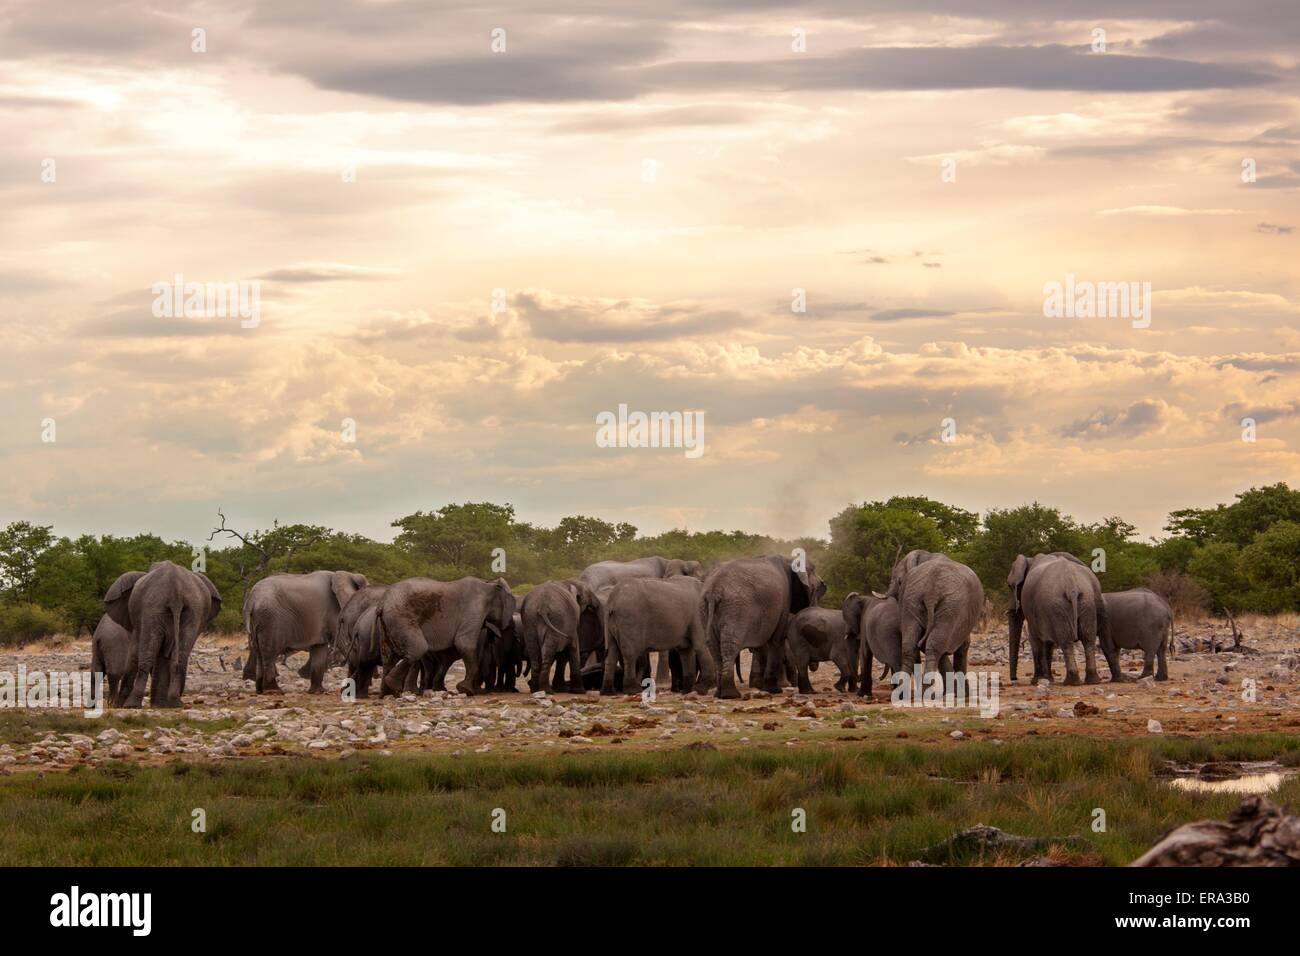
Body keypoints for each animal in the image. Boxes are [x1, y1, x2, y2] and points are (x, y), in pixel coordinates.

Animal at [104, 561, 221, 708]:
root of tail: (176, 590)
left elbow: (134, 653)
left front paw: (119, 705)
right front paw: (161, 704)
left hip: (153, 607)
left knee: (147, 656)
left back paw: (132, 704)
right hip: (193, 611)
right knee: (180, 656)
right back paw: (175, 703)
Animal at [375, 576, 515, 697]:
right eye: (512, 599)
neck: (489, 584)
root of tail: (382, 603)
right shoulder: (475, 609)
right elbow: (464, 644)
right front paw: (466, 690)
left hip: (388, 622)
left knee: (388, 658)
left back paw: (387, 693)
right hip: (401, 617)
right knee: (418, 649)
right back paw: (393, 685)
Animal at [701, 554, 824, 698]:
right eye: (816, 589)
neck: (789, 559)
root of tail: (714, 591)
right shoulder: (783, 601)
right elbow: (777, 639)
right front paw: (774, 690)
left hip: (706, 609)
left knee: (714, 647)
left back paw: (719, 694)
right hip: (735, 610)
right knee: (730, 646)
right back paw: (730, 695)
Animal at [1007, 552, 1114, 685]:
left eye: (1010, 586)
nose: (1014, 679)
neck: (1029, 560)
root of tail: (1072, 587)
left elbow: (1036, 639)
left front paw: (1037, 681)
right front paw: (1047, 679)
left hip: (1057, 606)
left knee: (1066, 641)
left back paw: (1071, 681)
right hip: (1088, 601)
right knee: (1088, 639)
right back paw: (1092, 680)